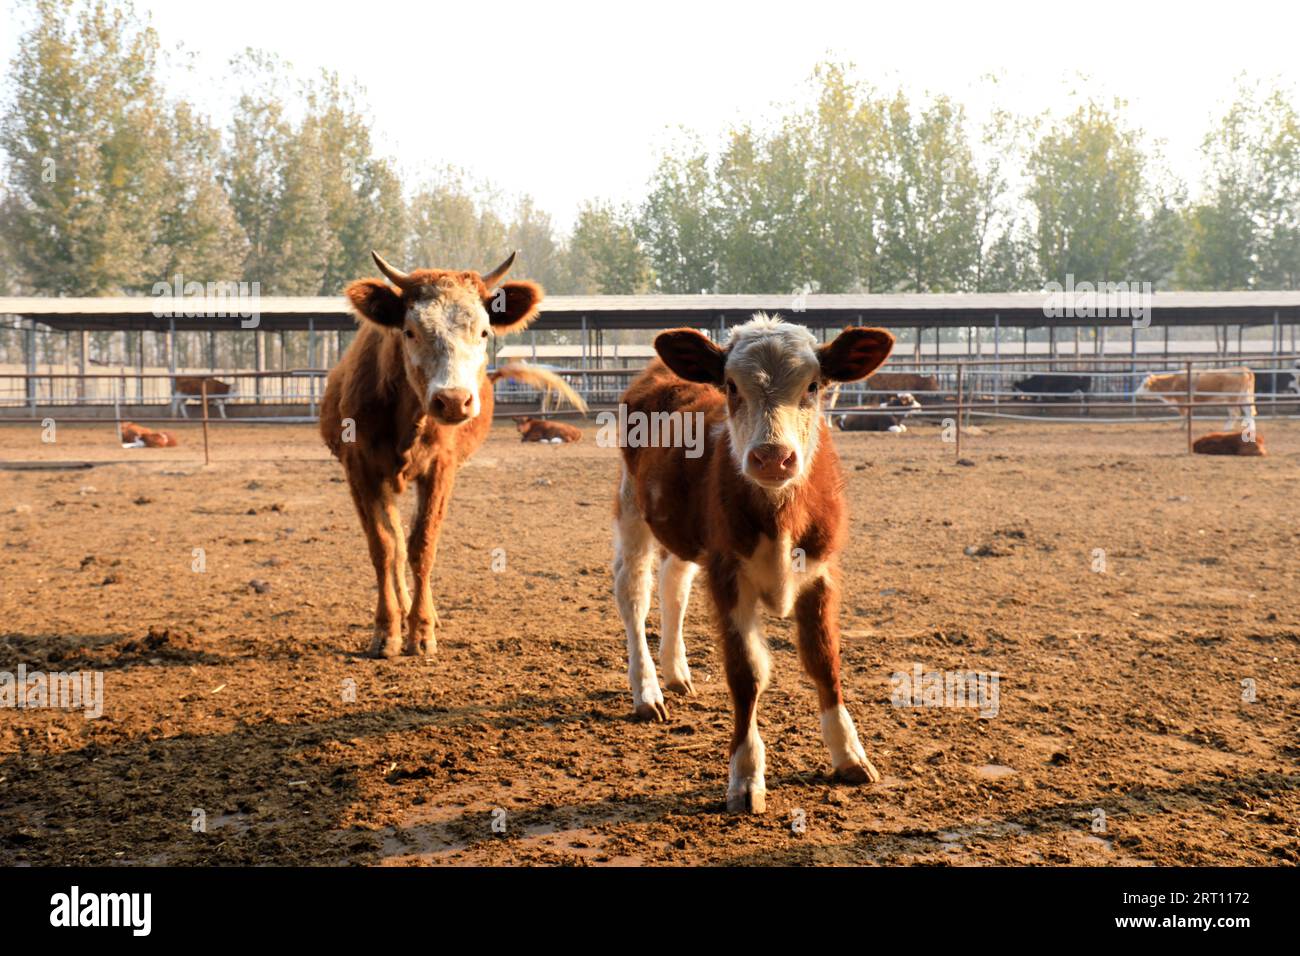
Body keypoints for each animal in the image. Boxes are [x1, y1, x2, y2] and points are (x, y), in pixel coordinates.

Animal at [320, 251, 585, 658]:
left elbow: (423, 545)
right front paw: (387, 630)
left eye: (484, 332)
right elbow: (384, 547)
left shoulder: (441, 469)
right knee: (395, 543)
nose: (454, 400)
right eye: (410, 331)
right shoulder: (360, 469)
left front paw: (422, 630)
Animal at [613, 313, 893, 813]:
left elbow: (824, 660)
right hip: (632, 507)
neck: (780, 512)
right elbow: (747, 674)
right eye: (731, 385)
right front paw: (745, 775)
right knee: (634, 593)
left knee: (673, 584)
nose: (772, 457)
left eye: (813, 385)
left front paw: (848, 754)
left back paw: (677, 672)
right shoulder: (728, 575)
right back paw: (647, 690)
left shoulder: (821, 573)